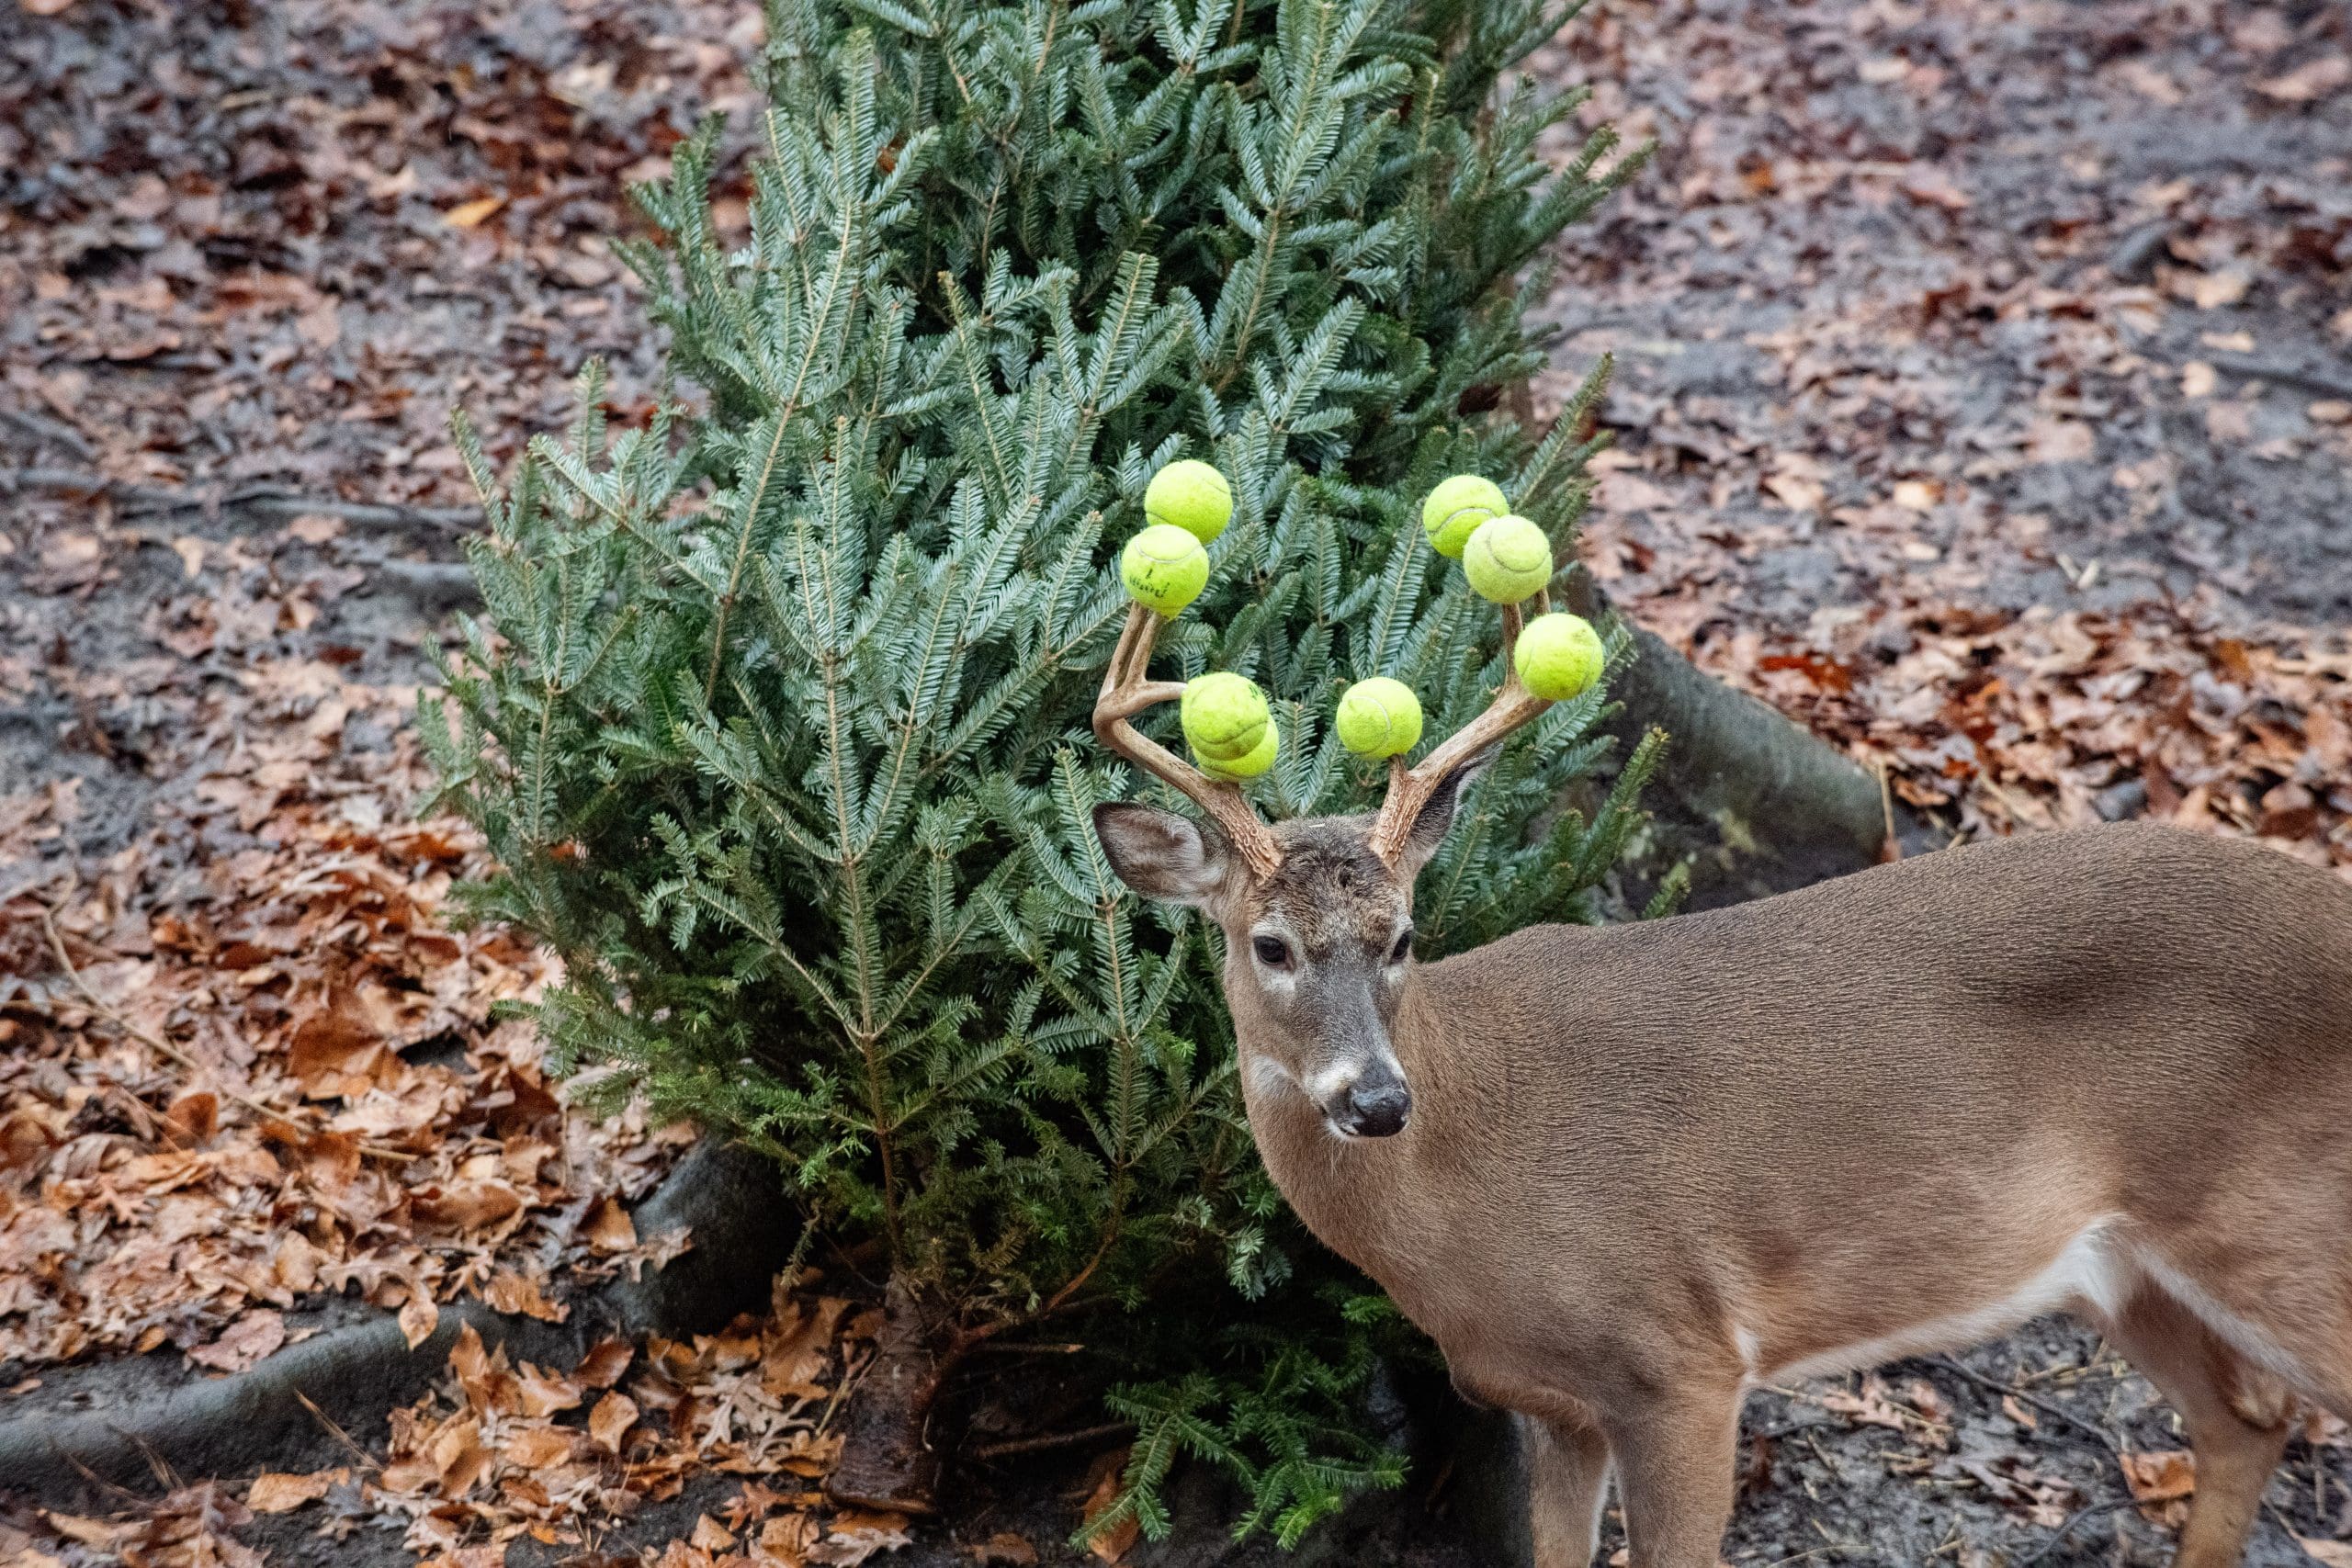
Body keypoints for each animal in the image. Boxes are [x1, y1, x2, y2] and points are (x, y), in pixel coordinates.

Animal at [1088, 591, 2352, 1568]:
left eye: (1400, 936)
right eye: (1270, 946)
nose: (1375, 1100)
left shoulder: (1680, 1363)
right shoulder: (1550, 1404)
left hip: (2289, 1225)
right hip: (2121, 1267)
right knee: (2244, 1423)